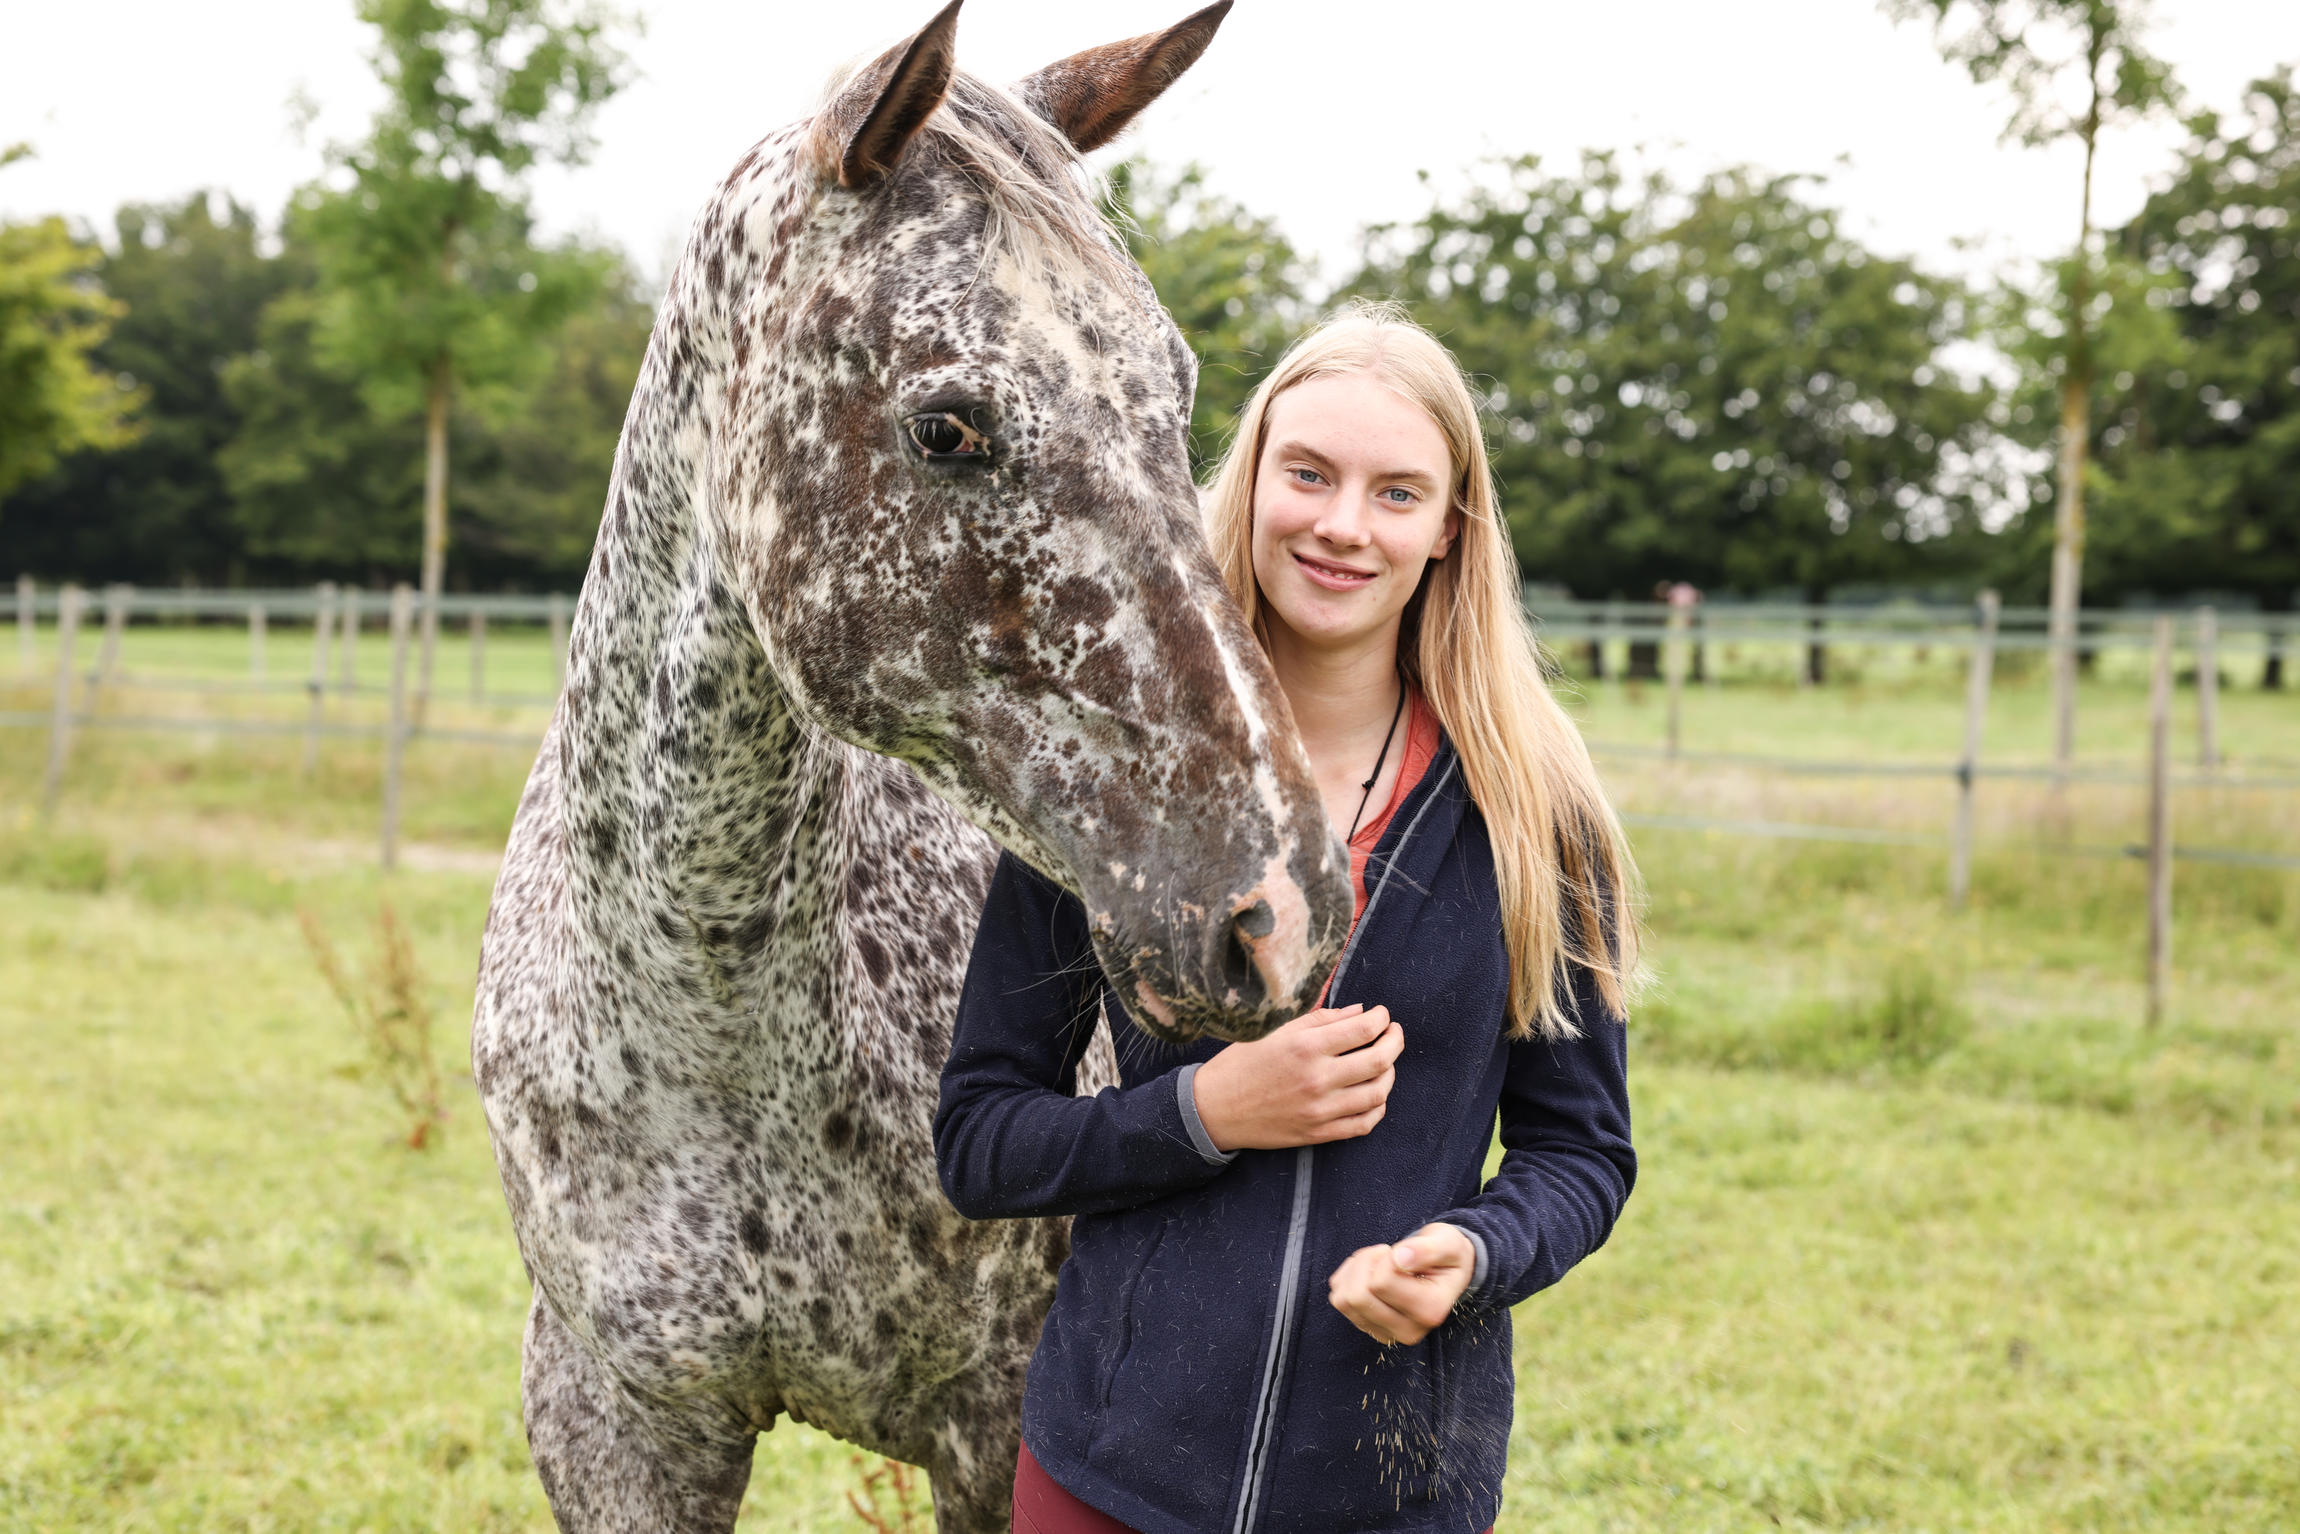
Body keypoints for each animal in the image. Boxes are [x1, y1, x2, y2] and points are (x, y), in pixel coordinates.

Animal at [469, 5, 1353, 1527]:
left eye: (1175, 392)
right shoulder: (613, 1422)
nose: (1278, 909)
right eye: (948, 424)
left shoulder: (993, 1427)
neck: (706, 1014)